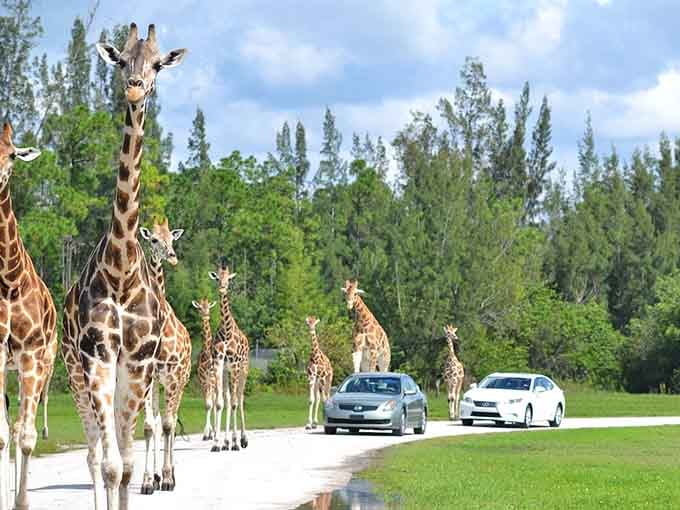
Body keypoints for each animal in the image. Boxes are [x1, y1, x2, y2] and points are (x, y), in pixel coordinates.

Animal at [61, 23, 187, 510]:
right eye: (120, 61)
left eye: (156, 65)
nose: (135, 87)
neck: (120, 270)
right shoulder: (98, 358)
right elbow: (113, 465)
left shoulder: (137, 363)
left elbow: (129, 464)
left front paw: (153, 480)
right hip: (75, 374)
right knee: (95, 454)